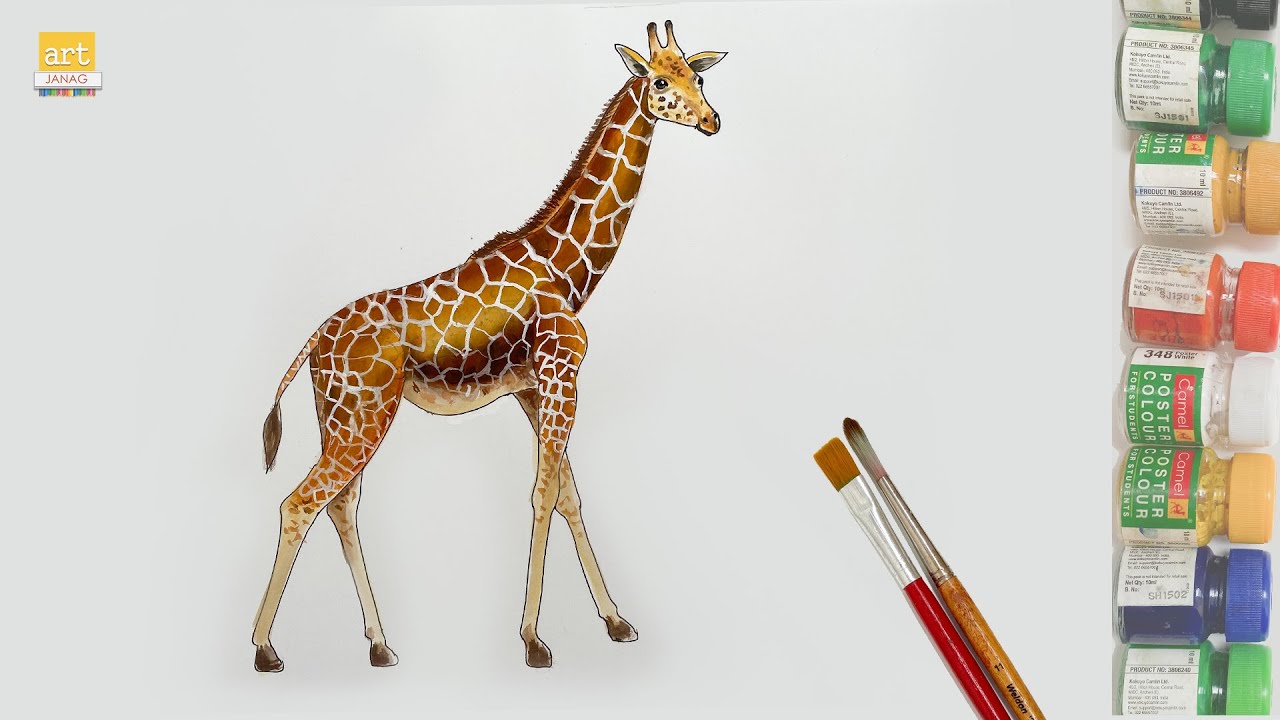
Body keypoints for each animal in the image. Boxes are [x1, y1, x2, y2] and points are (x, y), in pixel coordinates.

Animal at [252, 21, 726, 672]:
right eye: (658, 80)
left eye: (696, 76)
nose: (711, 119)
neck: (568, 268)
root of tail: (313, 343)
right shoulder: (561, 370)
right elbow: (544, 493)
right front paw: (533, 641)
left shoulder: (532, 387)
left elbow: (568, 496)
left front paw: (615, 621)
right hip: (363, 418)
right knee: (300, 503)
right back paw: (265, 650)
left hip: (342, 417)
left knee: (341, 506)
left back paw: (379, 644)